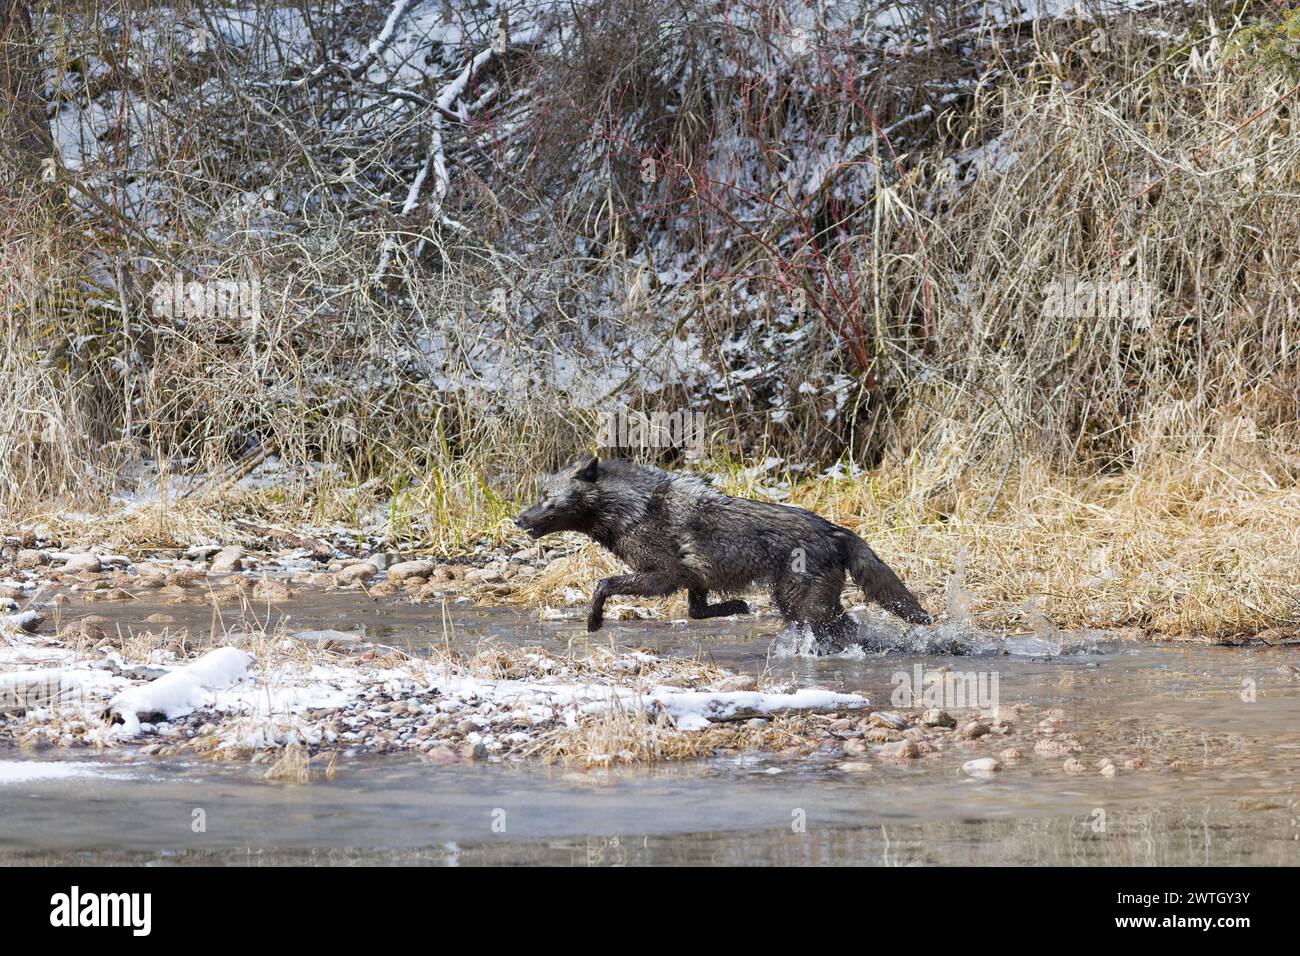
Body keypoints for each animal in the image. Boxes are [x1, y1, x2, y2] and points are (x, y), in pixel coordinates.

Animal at [514, 456, 930, 651]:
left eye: (547, 497)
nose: (519, 519)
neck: (631, 507)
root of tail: (836, 530)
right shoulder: (695, 582)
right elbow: (697, 612)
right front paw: (737, 608)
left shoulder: (662, 577)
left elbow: (603, 584)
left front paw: (594, 621)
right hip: (799, 604)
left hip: (804, 608)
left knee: (843, 631)